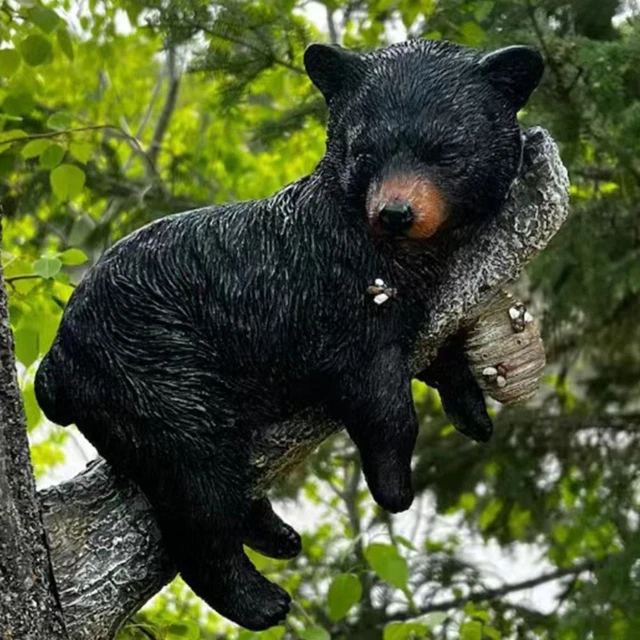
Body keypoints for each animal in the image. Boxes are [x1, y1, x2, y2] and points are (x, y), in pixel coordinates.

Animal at [35, 38, 544, 630]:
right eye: (363, 149)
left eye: (445, 150)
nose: (394, 212)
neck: (396, 256)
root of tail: (56, 363)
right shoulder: (334, 298)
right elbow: (378, 396)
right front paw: (395, 487)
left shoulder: (421, 297)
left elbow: (437, 350)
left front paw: (473, 411)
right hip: (153, 372)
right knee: (196, 485)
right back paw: (259, 599)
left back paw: (276, 534)